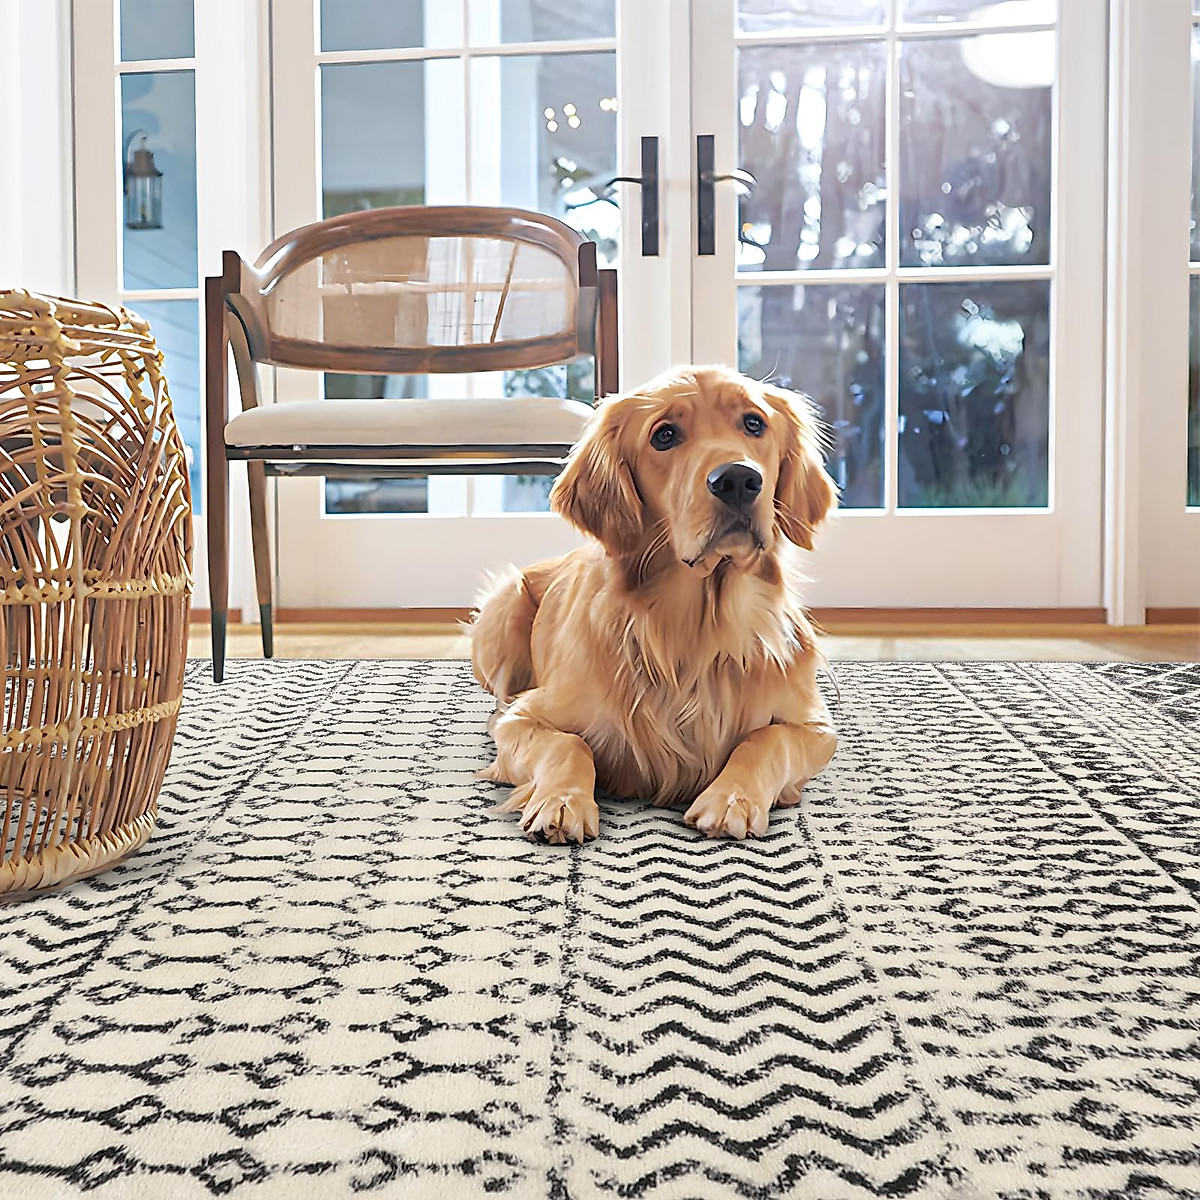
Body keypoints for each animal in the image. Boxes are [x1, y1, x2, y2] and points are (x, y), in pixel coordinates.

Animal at [469, 364, 839, 843]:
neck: (699, 629)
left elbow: (766, 740)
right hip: (503, 607)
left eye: (754, 424)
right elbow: (569, 743)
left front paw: (730, 798)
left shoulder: (815, 728)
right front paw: (562, 802)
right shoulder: (526, 719)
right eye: (664, 435)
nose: (739, 480)